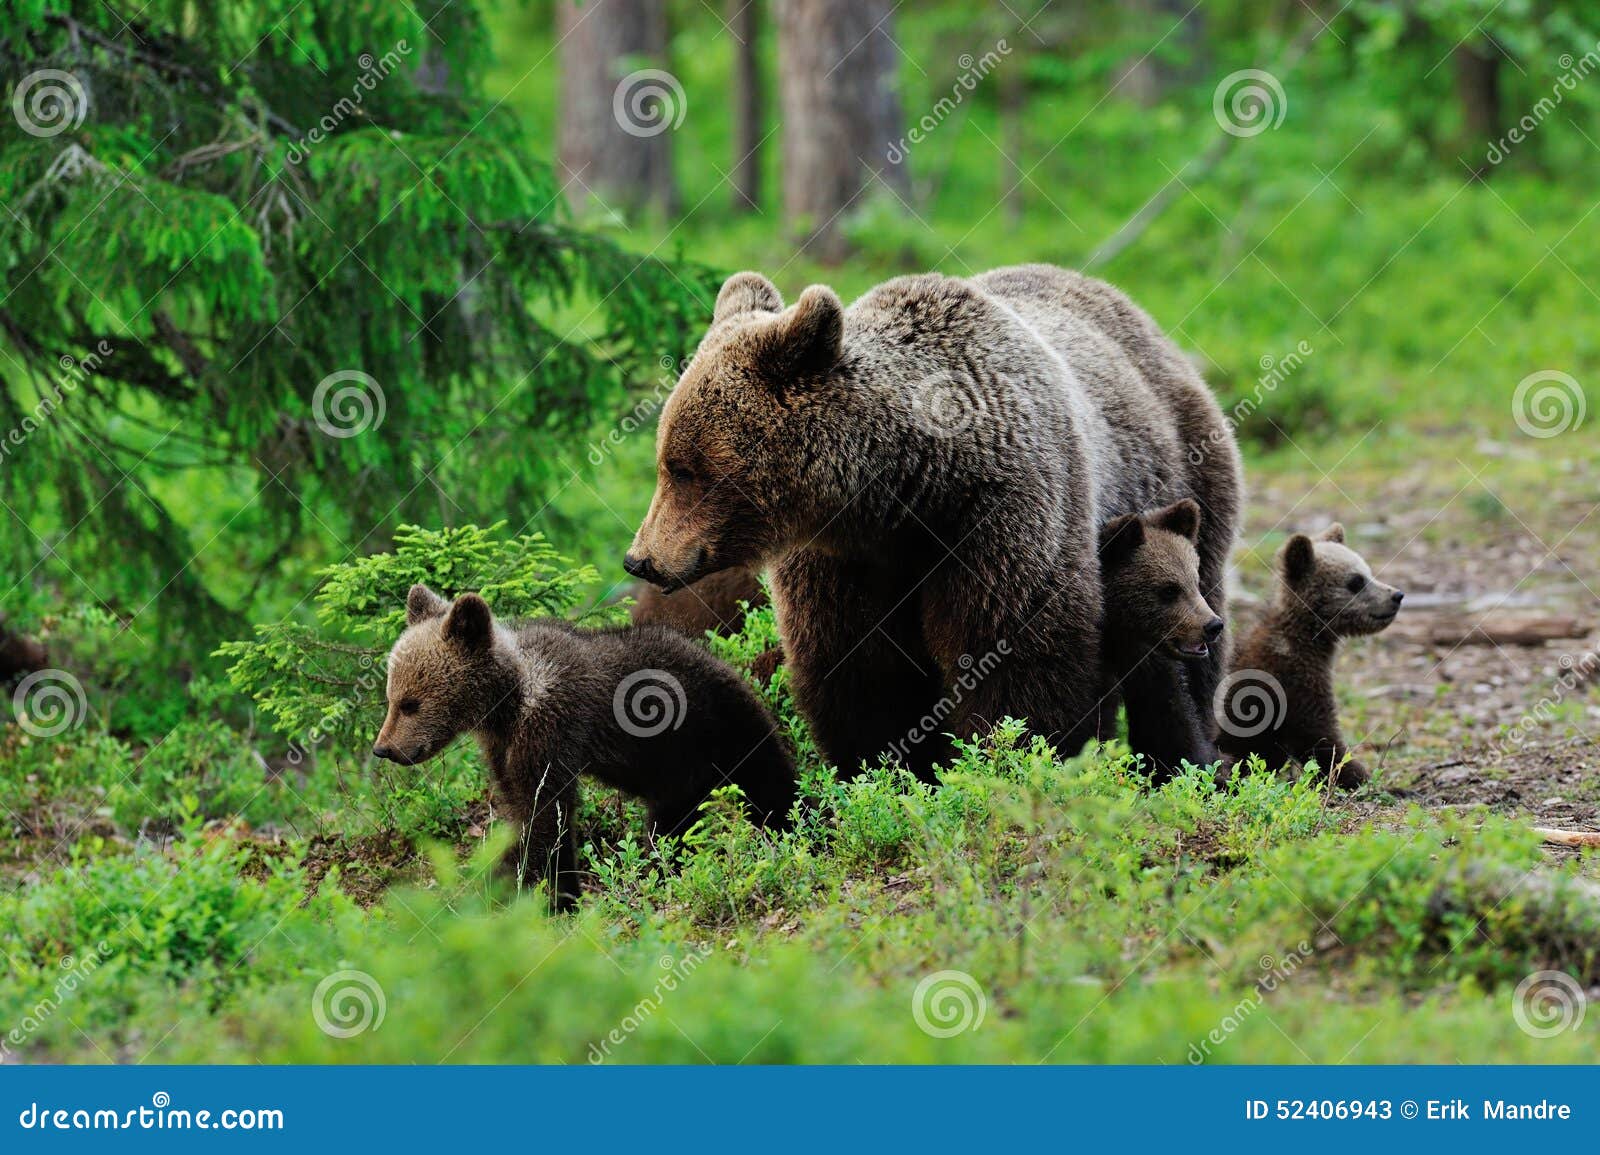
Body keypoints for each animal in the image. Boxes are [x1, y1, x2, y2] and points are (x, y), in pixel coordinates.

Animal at [373, 585, 796, 909]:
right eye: (391, 697)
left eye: (411, 703)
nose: (384, 748)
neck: (509, 702)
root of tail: (727, 663)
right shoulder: (504, 749)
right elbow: (523, 809)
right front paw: (539, 890)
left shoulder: (552, 727)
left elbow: (545, 813)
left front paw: (530, 891)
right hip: (676, 772)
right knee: (671, 825)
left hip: (722, 726)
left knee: (768, 782)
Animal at [1217, 524, 1404, 789]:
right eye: (1356, 581)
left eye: (1368, 571)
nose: (1396, 595)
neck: (1308, 640)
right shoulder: (1292, 685)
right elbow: (1320, 739)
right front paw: (1361, 777)